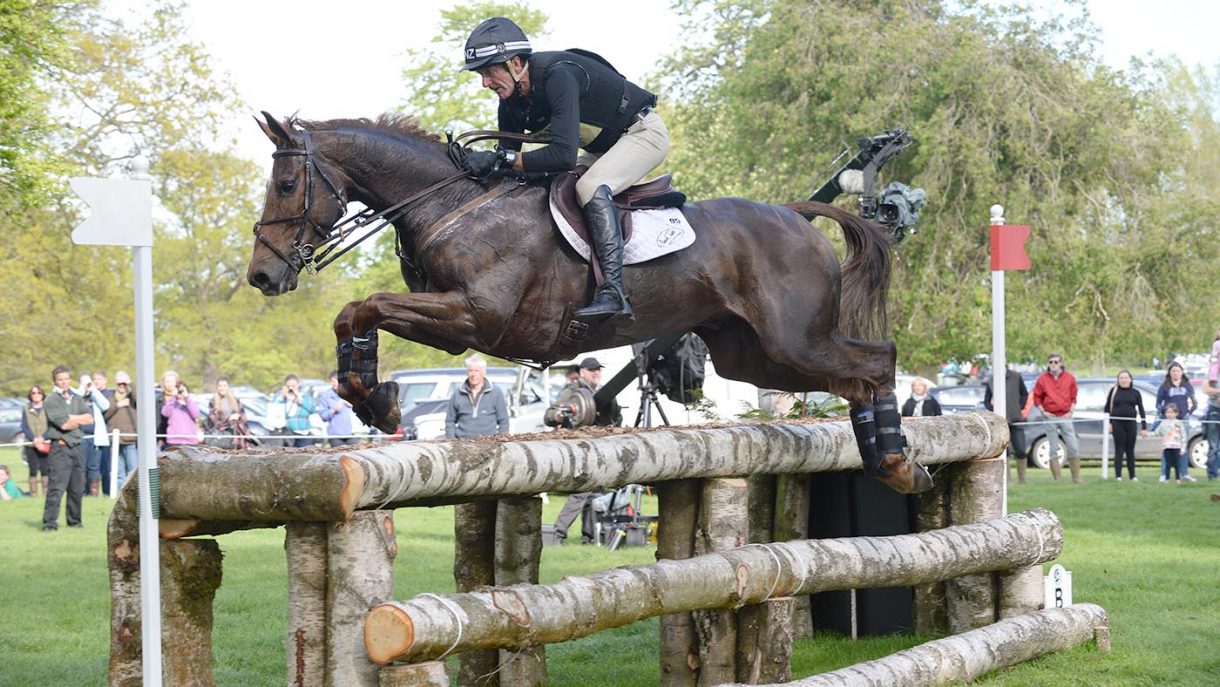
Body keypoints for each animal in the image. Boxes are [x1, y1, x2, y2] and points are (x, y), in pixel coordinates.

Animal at [247, 112, 931, 493]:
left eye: (287, 184)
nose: (261, 276)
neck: (451, 202)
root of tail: (794, 215)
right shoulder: (456, 322)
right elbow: (355, 313)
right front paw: (372, 396)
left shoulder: (477, 318)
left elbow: (367, 307)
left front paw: (375, 397)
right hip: (754, 356)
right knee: (852, 380)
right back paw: (890, 461)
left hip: (795, 339)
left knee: (877, 360)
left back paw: (898, 463)